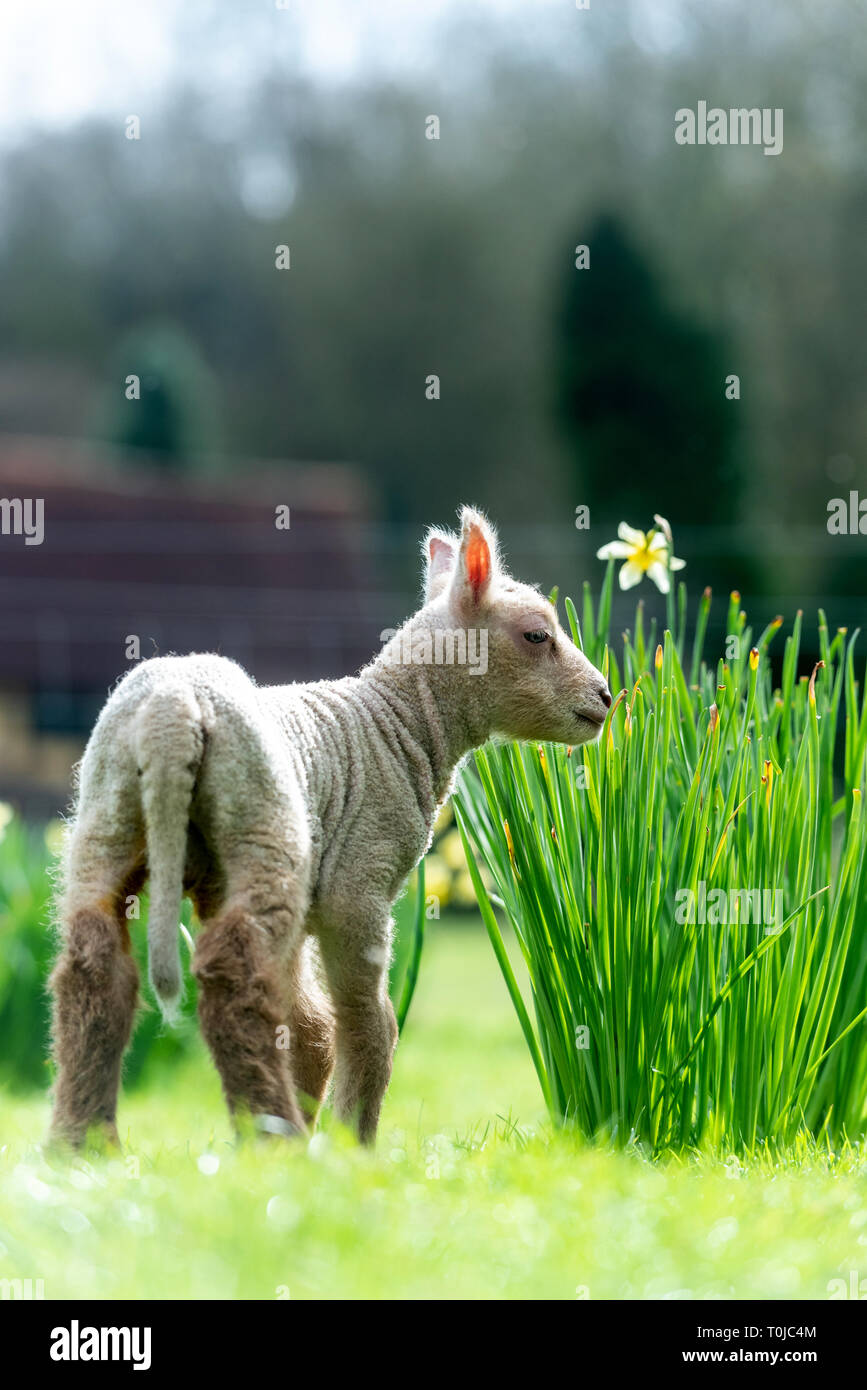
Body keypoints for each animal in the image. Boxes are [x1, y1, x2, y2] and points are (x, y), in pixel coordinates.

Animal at [47, 506, 611, 1147]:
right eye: (537, 635)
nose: (605, 697)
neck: (397, 724)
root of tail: (173, 710)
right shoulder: (357, 885)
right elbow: (369, 1026)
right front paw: (351, 1141)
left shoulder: (308, 906)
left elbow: (308, 1029)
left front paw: (322, 1126)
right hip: (265, 832)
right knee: (233, 982)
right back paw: (269, 1139)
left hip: (107, 821)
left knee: (92, 970)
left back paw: (82, 1146)